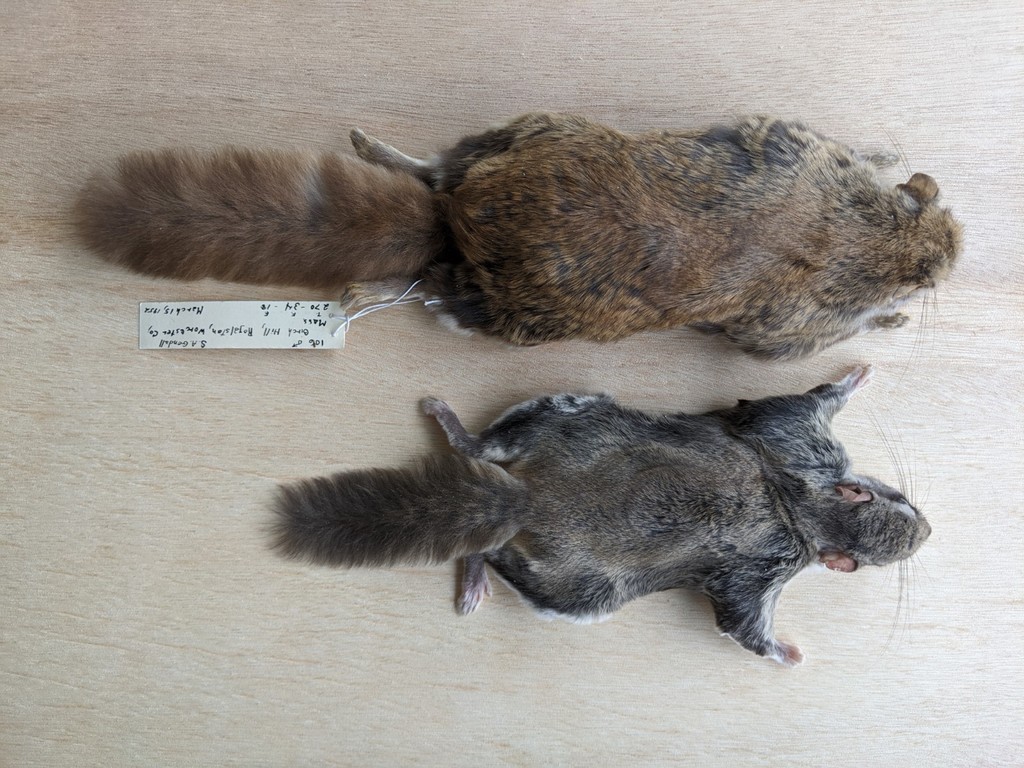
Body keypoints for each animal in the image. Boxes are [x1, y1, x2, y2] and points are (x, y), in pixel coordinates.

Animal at [75, 113, 962, 359]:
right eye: (930, 271)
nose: (956, 246)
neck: (863, 240)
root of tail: (459, 225)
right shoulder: (783, 337)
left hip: (517, 136)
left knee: (436, 183)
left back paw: (372, 161)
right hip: (508, 317)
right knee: (429, 277)